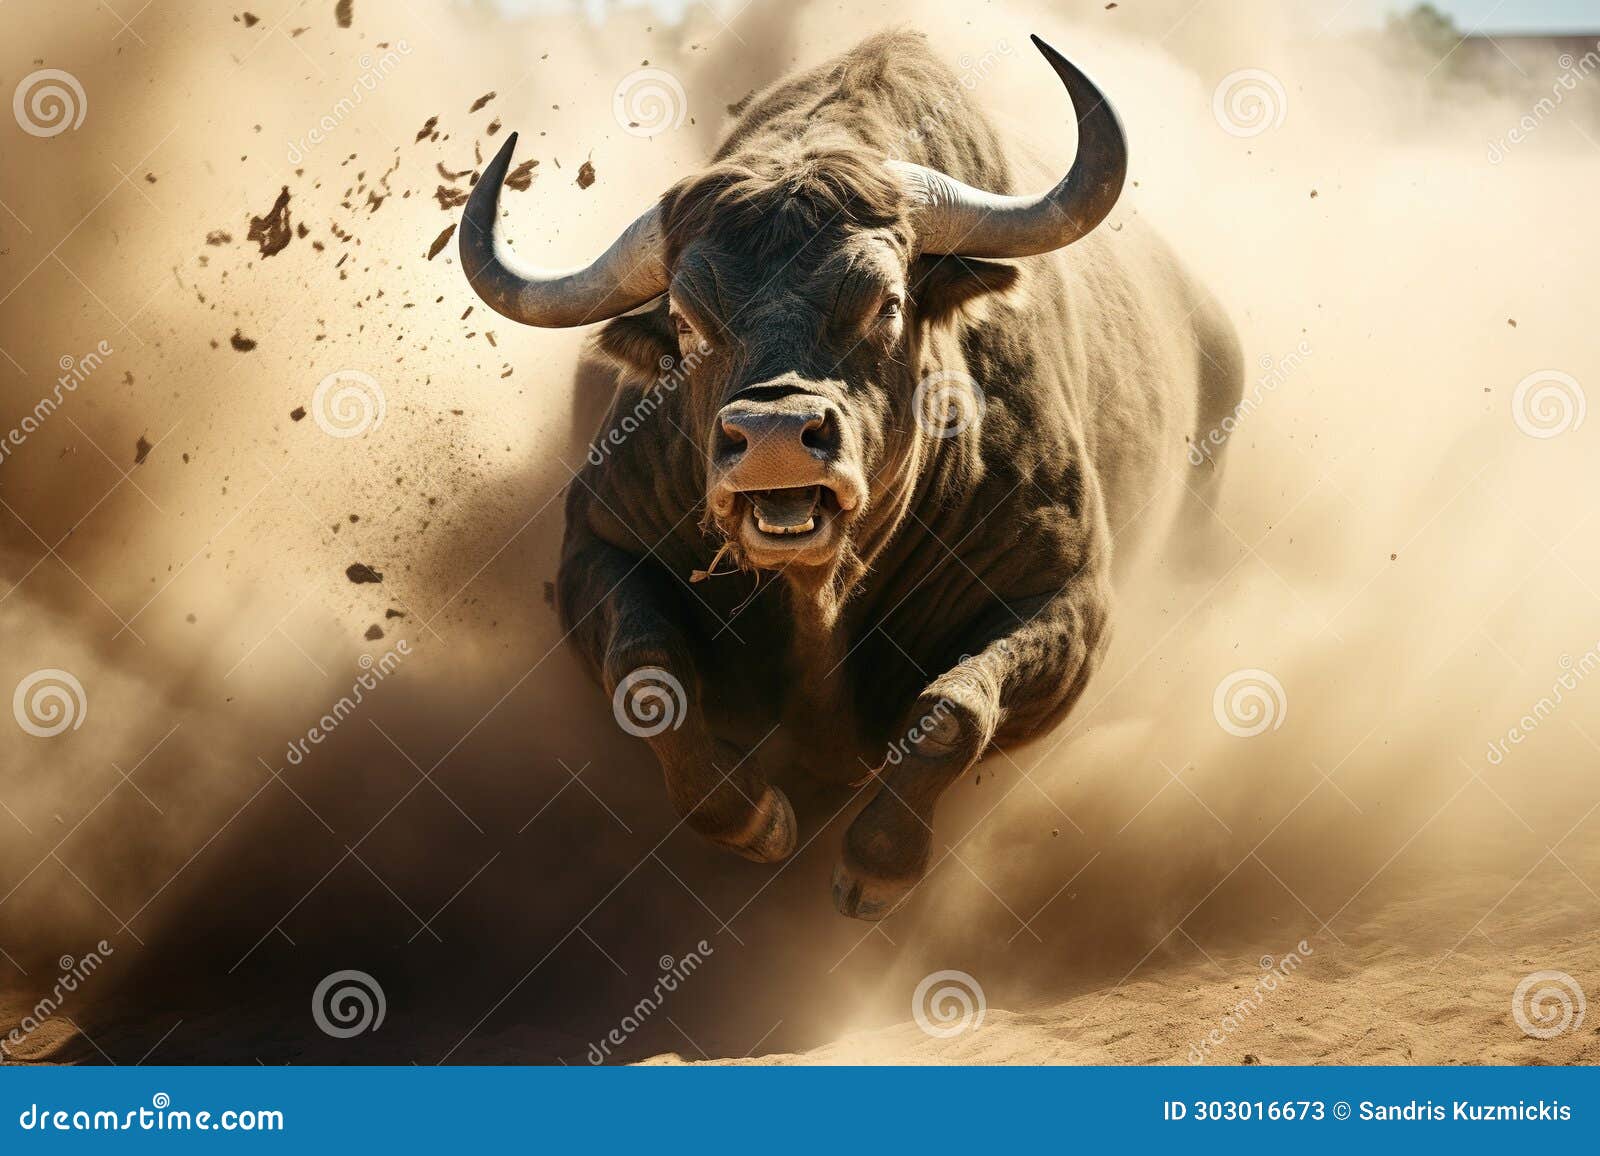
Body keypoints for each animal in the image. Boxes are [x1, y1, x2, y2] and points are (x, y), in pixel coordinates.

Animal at [459, 29, 1243, 920]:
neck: (817, 605)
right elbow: (646, 677)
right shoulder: (597, 546)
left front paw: (878, 863)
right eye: (688, 321)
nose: (773, 437)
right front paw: (756, 819)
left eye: (885, 303)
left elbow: (952, 709)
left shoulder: (1069, 597)